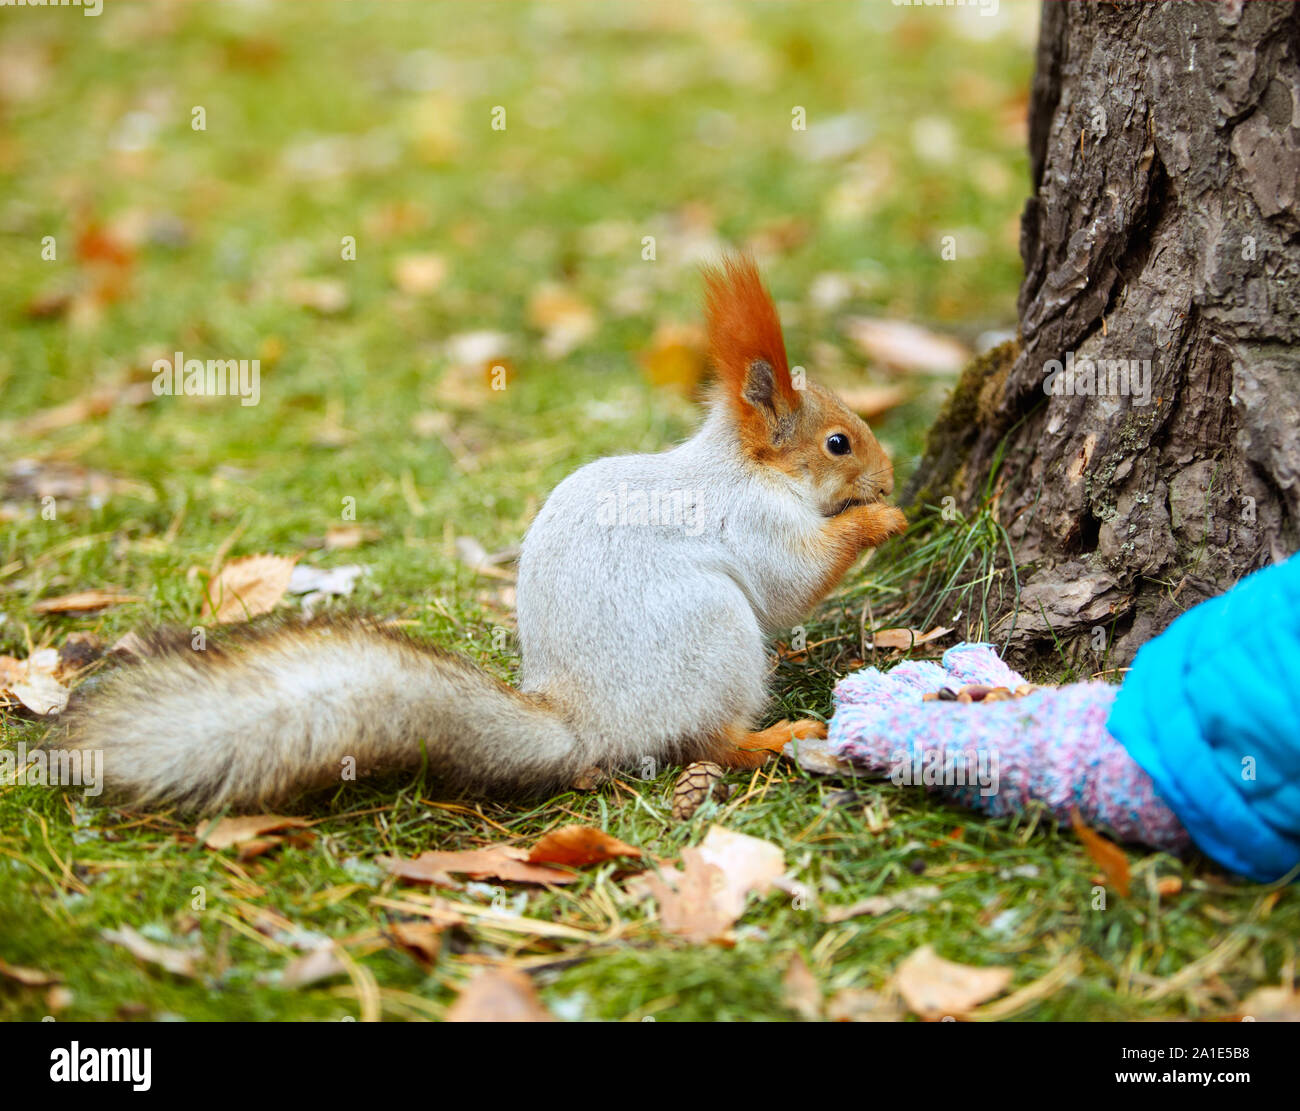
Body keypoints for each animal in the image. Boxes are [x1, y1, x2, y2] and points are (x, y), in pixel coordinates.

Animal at [53, 255, 907, 814]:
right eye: (838, 443)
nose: (891, 473)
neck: (748, 468)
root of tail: (589, 723)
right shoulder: (755, 522)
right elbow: (793, 580)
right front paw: (879, 519)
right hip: (715, 638)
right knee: (705, 737)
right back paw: (769, 736)